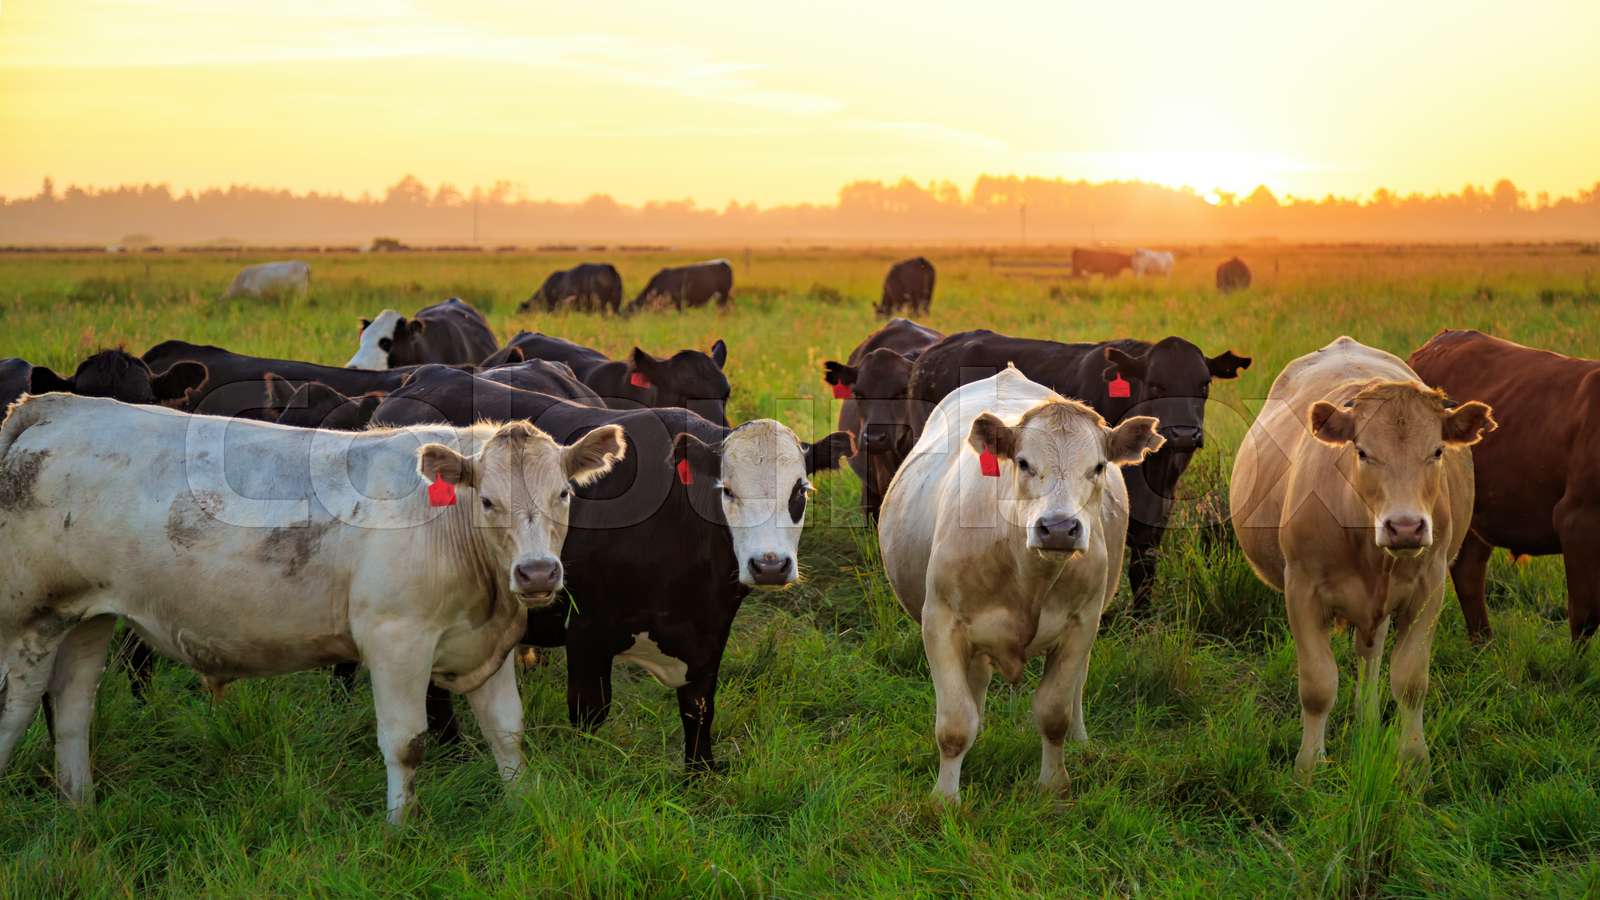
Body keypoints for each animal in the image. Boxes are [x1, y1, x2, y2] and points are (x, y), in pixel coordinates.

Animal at [0, 393, 626, 823]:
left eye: (563, 494)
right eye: (488, 500)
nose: (537, 572)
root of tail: (58, 406)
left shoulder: (487, 644)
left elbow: (507, 735)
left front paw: (523, 808)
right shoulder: (396, 641)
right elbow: (407, 742)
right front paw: (400, 829)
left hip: (86, 618)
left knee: (72, 709)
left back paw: (80, 806)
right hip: (30, 619)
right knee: (18, 707)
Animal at [368, 365, 854, 769]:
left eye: (800, 491)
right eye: (727, 490)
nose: (770, 565)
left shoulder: (709, 633)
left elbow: (699, 711)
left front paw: (699, 777)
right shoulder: (587, 633)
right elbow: (590, 716)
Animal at [879, 367, 1163, 801]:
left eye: (1099, 466)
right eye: (1024, 462)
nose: (1059, 528)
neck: (1028, 572)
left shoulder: (1081, 624)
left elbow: (1053, 714)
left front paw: (1054, 786)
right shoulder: (940, 623)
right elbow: (955, 724)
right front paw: (944, 799)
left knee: (1076, 686)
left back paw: (1081, 739)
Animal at [907, 330, 1250, 609]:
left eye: (1204, 384)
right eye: (1156, 384)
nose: (1184, 433)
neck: (1156, 473)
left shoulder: (1155, 518)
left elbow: (1143, 572)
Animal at [1229, 337, 1495, 776]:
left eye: (1437, 451)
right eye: (1363, 452)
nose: (1405, 527)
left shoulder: (1428, 589)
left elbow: (1410, 680)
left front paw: (1413, 760)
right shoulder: (1301, 591)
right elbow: (1318, 685)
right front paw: (1309, 764)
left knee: (1370, 657)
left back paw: (1366, 716)